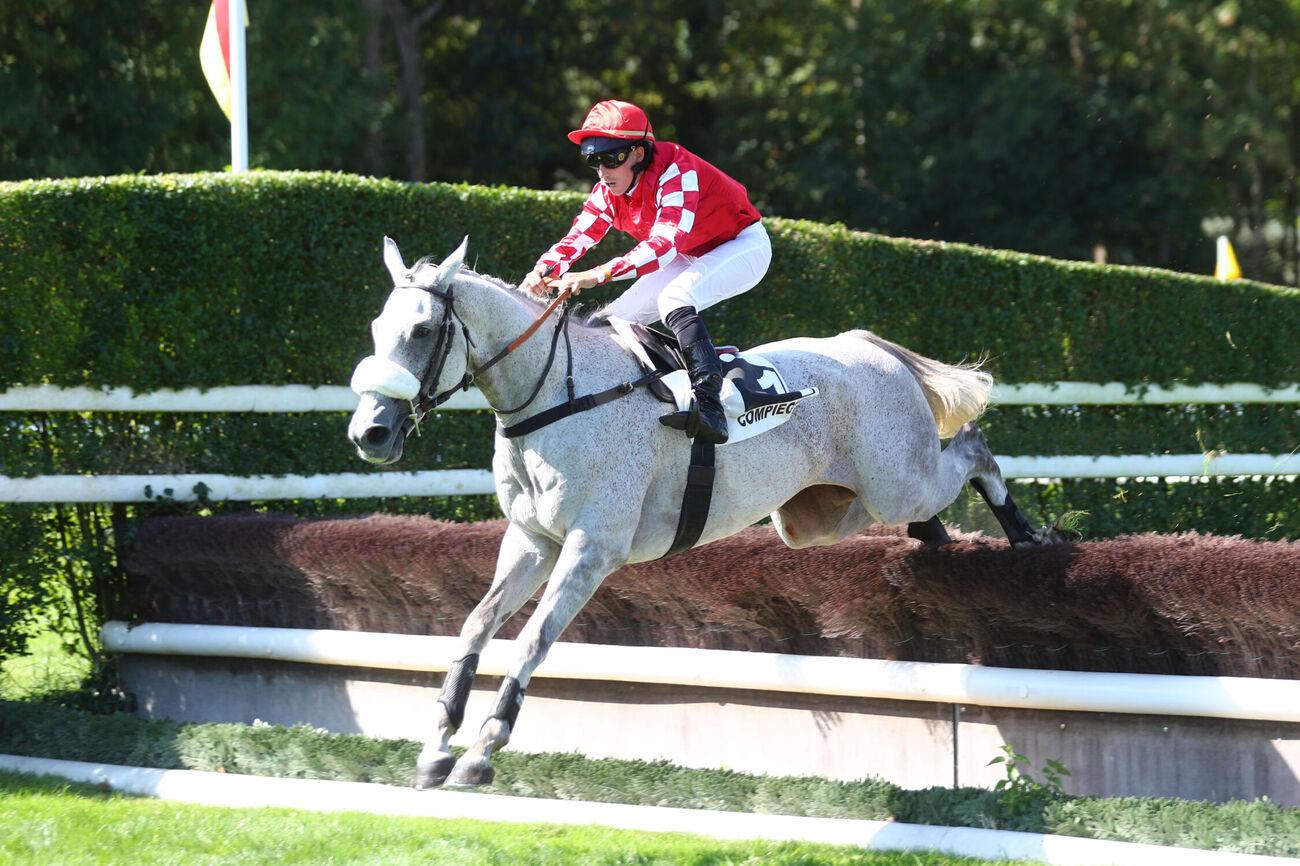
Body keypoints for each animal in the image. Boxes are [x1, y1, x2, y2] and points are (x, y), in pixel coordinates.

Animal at [347, 236, 1058, 789]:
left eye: (420, 331)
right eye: (377, 330)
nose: (370, 433)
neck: (555, 398)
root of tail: (867, 347)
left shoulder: (590, 548)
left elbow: (532, 638)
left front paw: (482, 750)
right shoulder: (531, 541)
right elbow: (474, 625)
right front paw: (437, 746)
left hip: (895, 480)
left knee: (971, 448)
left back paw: (1029, 535)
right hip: (814, 515)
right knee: (911, 509)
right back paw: (939, 540)